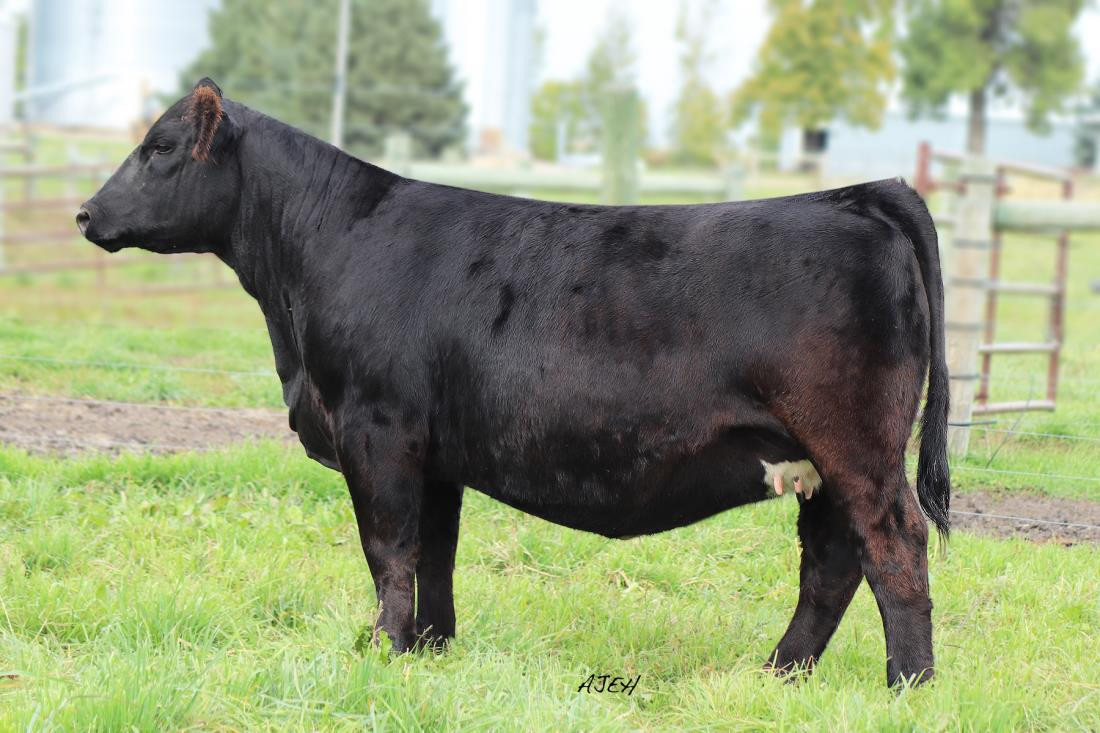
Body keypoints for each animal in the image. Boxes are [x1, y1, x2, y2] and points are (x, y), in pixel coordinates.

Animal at [77, 79, 951, 687]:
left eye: (159, 147)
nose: (85, 212)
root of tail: (857, 195)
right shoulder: (434, 453)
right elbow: (434, 553)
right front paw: (430, 651)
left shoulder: (376, 428)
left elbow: (387, 549)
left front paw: (382, 650)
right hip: (822, 460)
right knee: (832, 564)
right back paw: (777, 676)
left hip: (857, 447)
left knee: (894, 549)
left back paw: (906, 687)